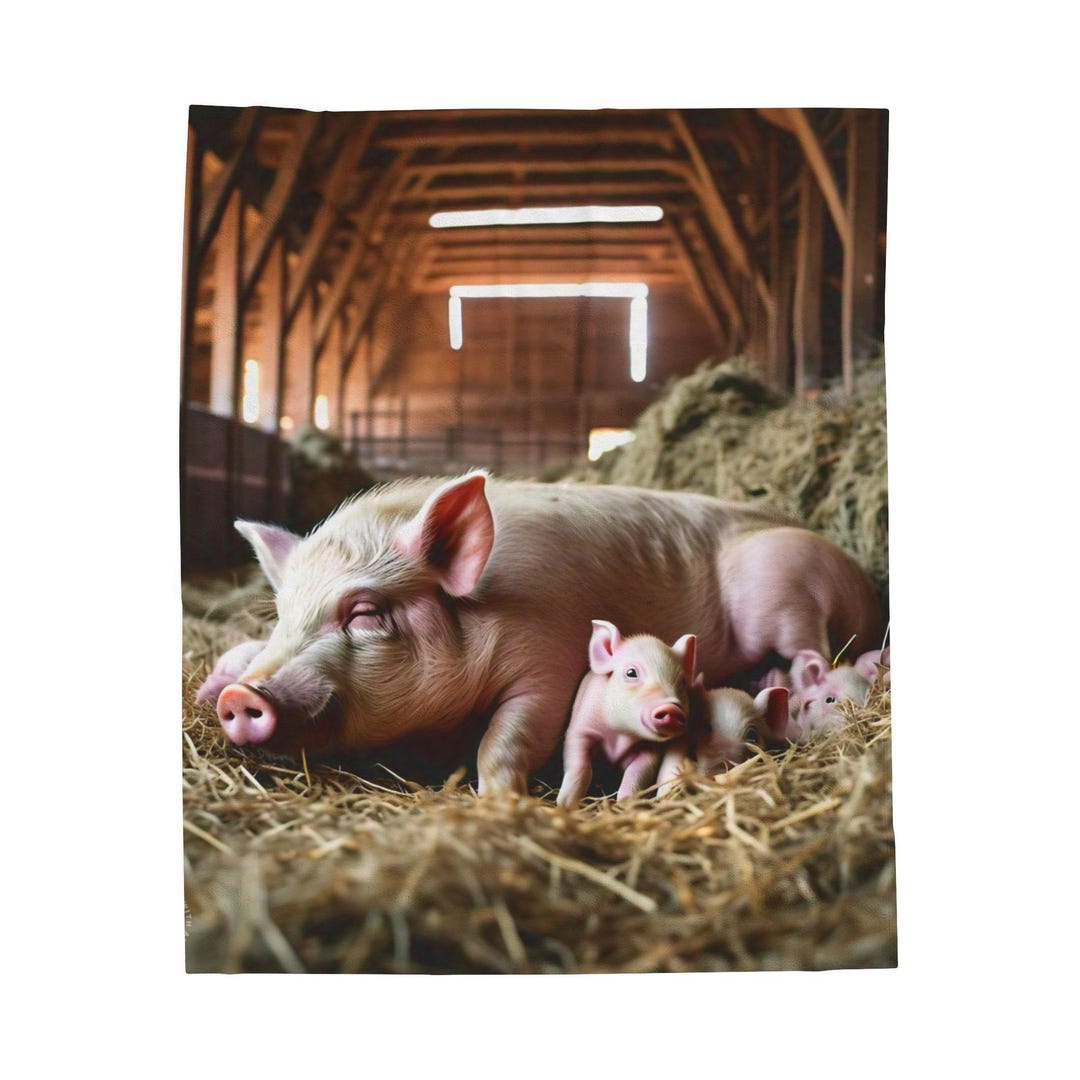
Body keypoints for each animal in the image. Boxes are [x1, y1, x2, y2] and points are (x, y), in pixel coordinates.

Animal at [556, 620, 696, 809]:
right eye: (631, 673)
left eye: (682, 682)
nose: (672, 708)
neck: (620, 735)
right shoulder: (580, 728)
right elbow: (580, 765)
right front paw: (565, 805)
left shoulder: (649, 748)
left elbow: (637, 772)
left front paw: (624, 805)